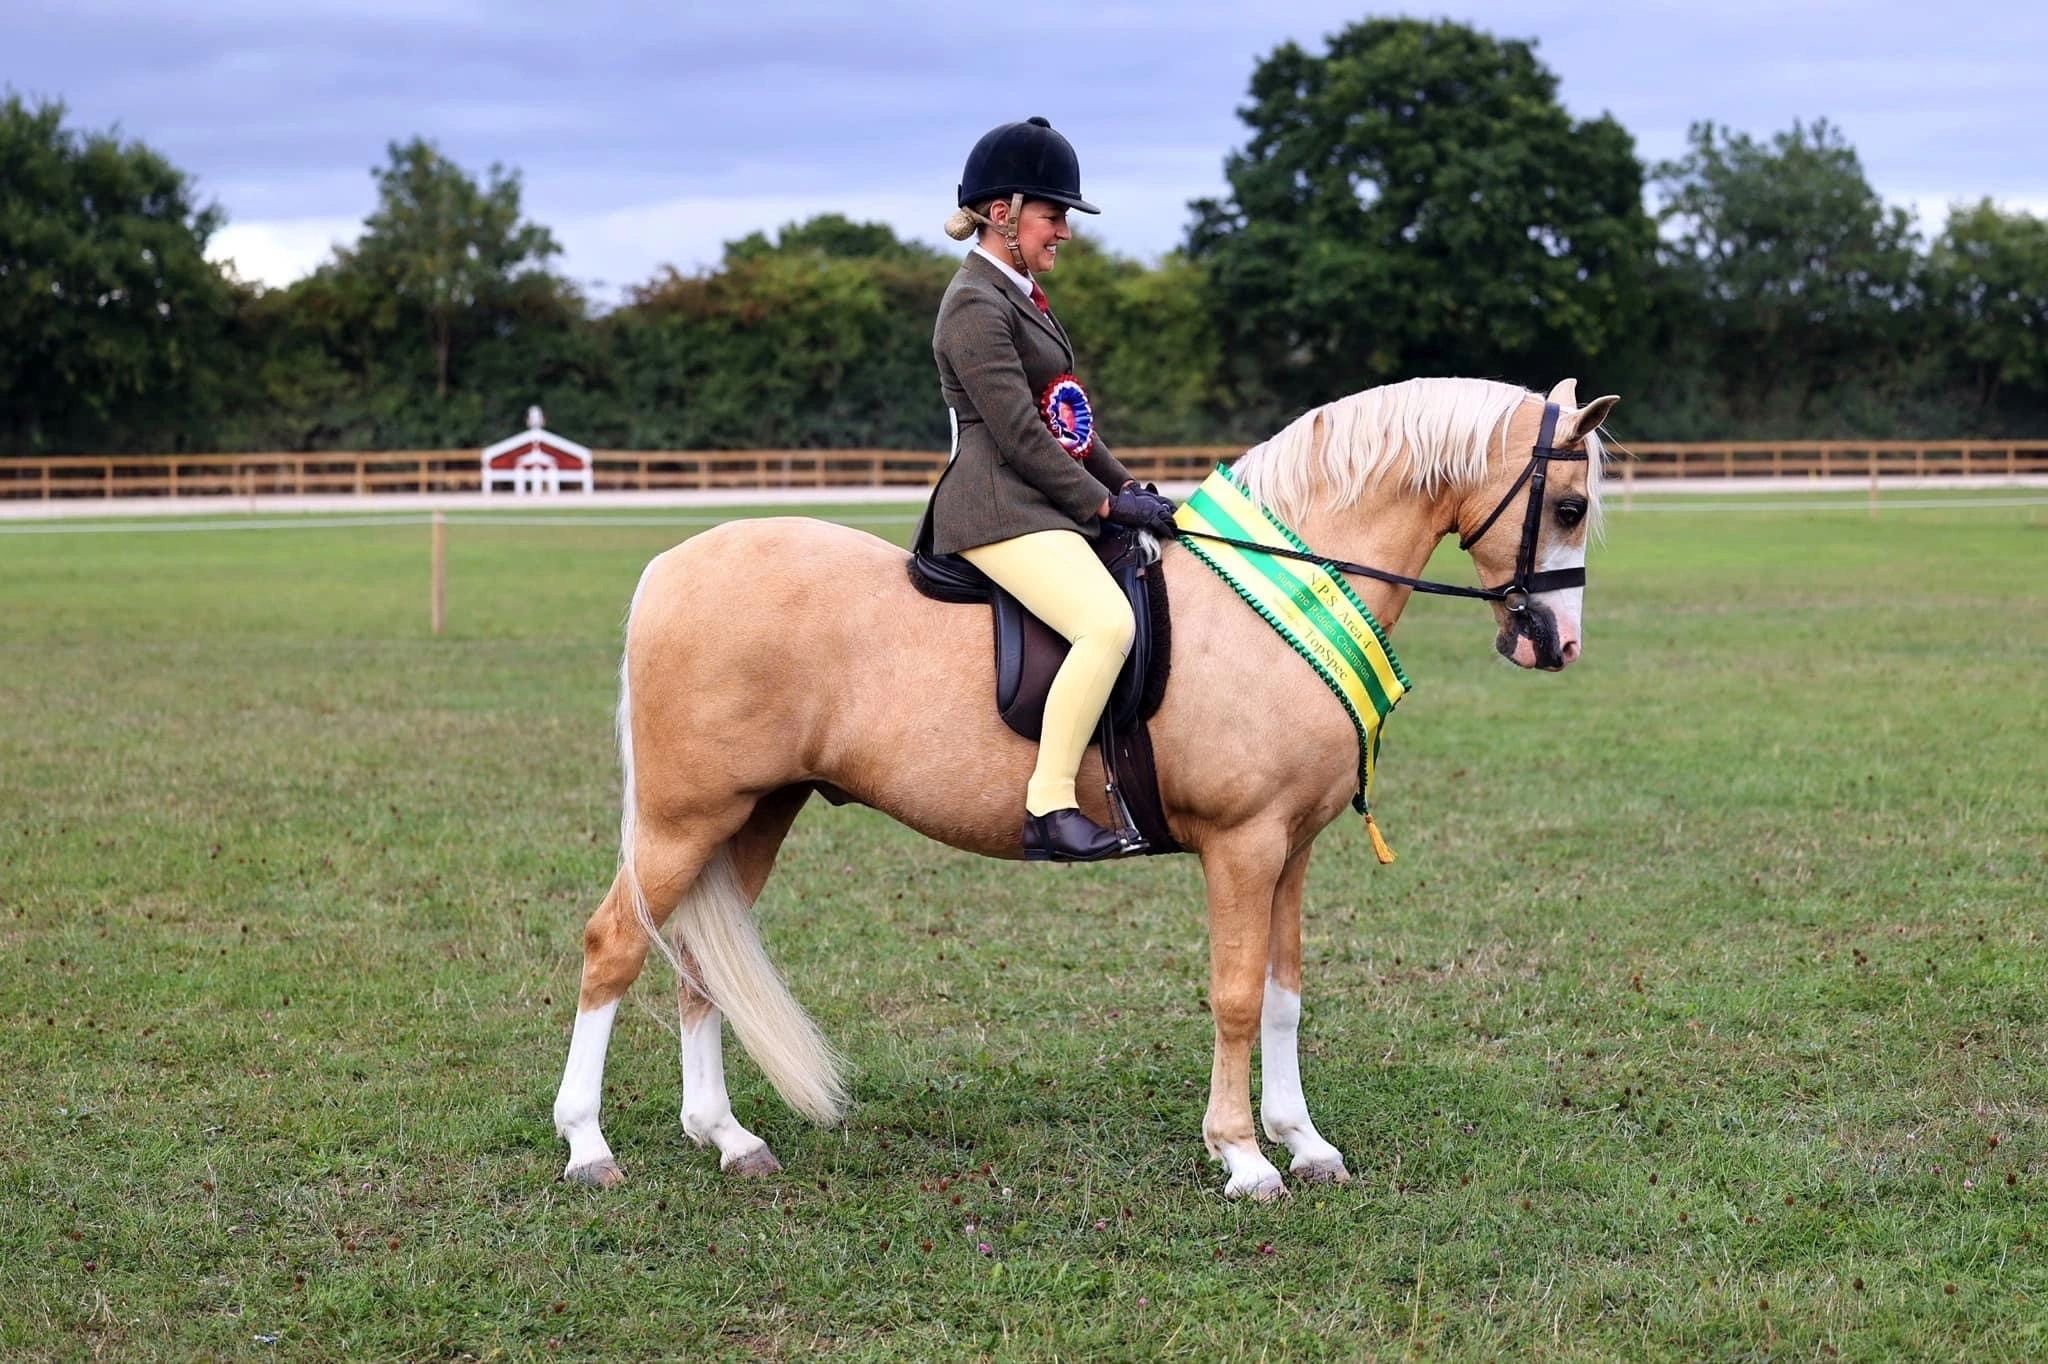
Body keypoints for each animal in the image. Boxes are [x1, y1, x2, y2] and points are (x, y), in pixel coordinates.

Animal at [551, 375, 1615, 1200]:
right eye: (1568, 506)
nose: (1555, 645)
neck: (1274, 602)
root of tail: (670, 566)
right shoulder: (1243, 845)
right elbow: (1235, 995)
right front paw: (1242, 1158)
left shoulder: (1292, 850)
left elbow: (1283, 998)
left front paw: (1304, 1144)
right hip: (686, 818)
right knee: (614, 946)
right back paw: (588, 1148)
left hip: (755, 815)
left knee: (696, 961)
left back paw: (728, 1139)